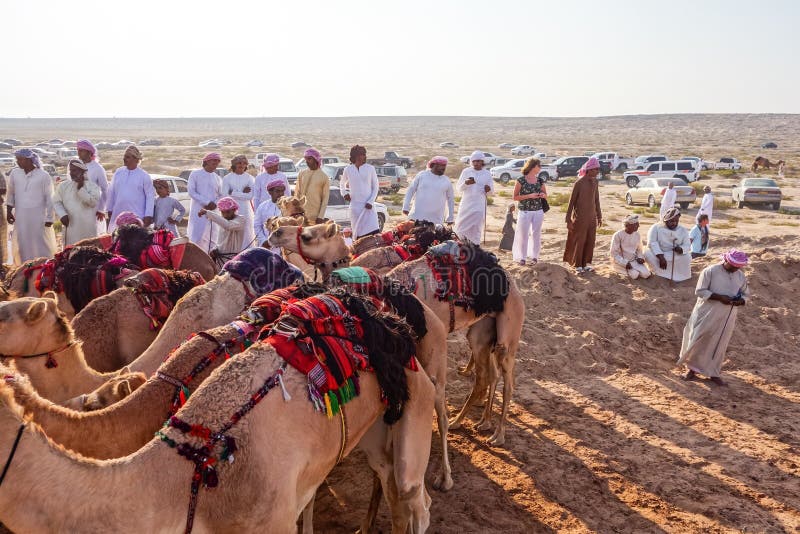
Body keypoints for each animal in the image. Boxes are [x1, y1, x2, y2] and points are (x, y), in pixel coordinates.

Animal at [271, 223, 525, 446]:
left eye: (307, 236)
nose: (275, 231)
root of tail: (508, 278)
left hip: (510, 324)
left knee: (506, 377)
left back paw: (497, 435)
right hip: (482, 330)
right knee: (486, 375)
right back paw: (468, 421)